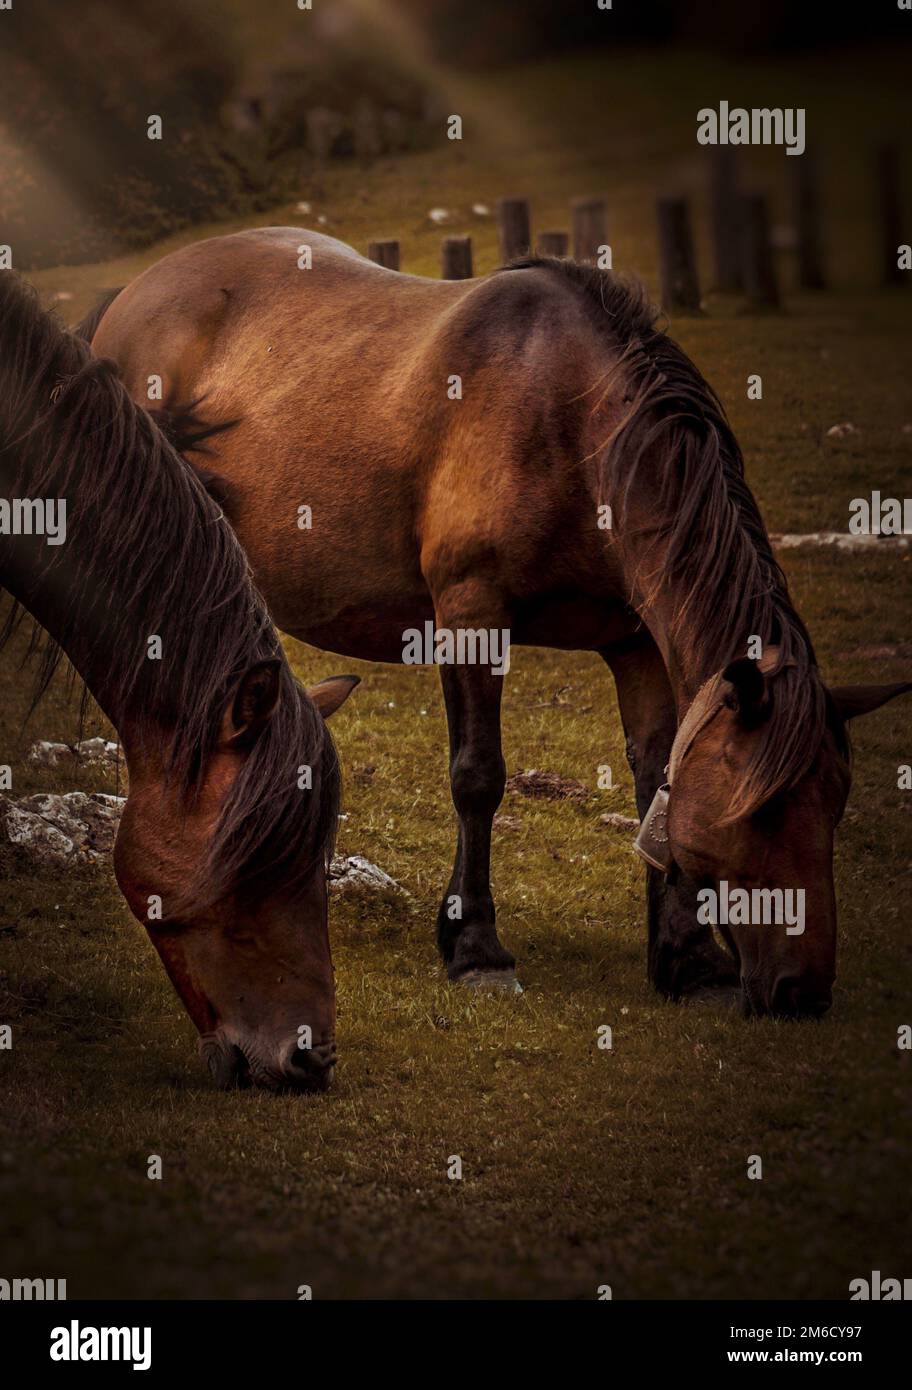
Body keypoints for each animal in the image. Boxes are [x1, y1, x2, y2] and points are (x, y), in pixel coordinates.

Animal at [86, 227, 911, 1018]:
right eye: (763, 812)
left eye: (836, 804)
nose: (804, 993)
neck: (576, 422)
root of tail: (132, 295)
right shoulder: (471, 613)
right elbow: (478, 776)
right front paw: (476, 947)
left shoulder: (637, 642)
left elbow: (655, 774)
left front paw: (688, 959)